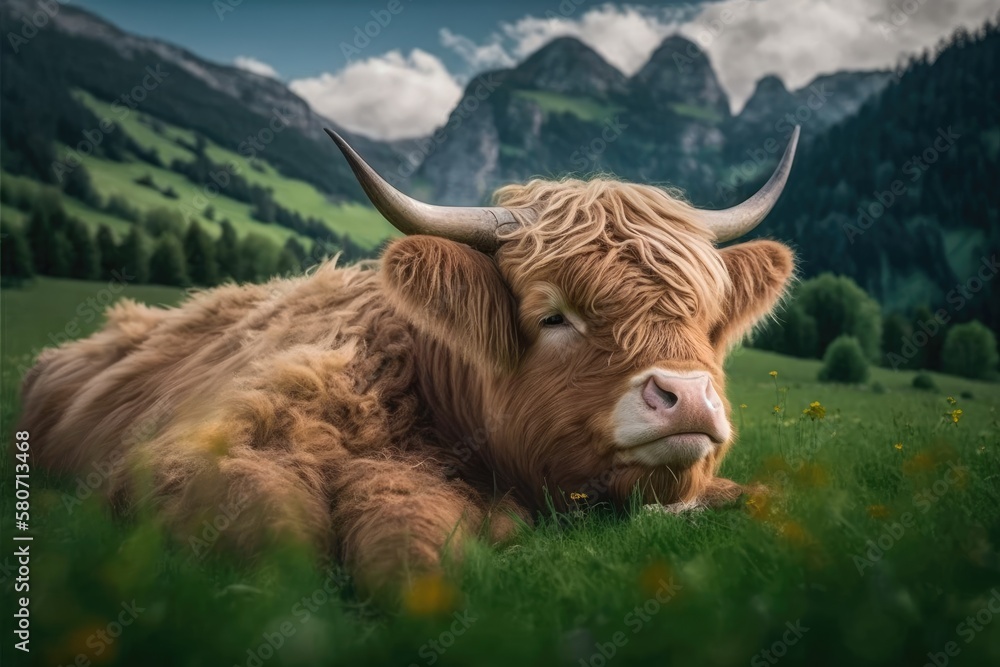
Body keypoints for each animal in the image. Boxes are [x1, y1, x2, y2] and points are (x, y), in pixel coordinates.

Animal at [18, 126, 799, 596]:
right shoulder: (201, 449)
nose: (687, 397)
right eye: (552, 315)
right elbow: (283, 531)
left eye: (705, 318)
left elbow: (764, 497)